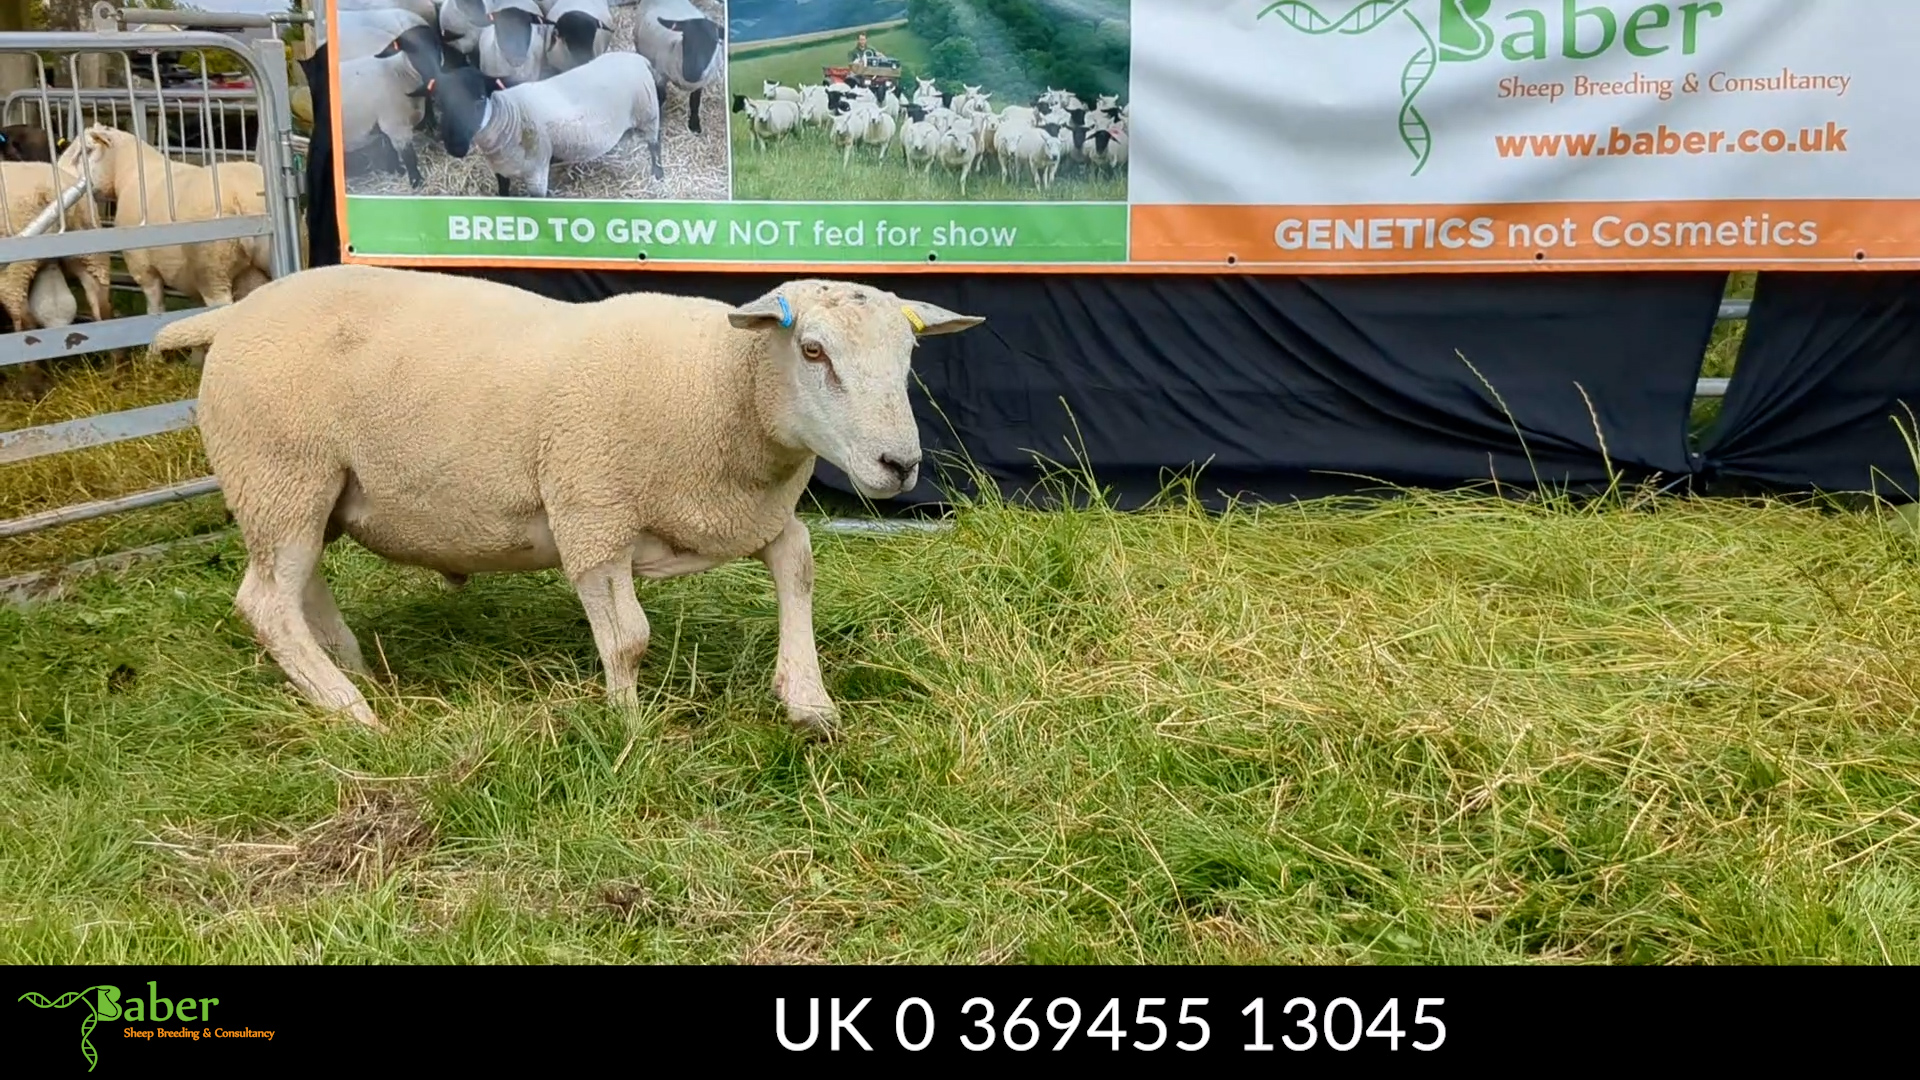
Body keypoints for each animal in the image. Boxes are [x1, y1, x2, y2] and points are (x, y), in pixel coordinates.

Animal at [55, 125, 271, 314]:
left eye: (86, 151)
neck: (129, 173)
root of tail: (240, 197)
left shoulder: (144, 269)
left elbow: (155, 308)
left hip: (212, 270)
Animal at [150, 265, 985, 735]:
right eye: (812, 351)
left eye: (910, 353)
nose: (899, 465)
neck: (716, 380)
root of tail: (237, 313)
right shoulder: (591, 514)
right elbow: (629, 640)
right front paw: (630, 729)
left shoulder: (735, 515)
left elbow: (800, 567)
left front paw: (807, 699)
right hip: (280, 473)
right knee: (266, 604)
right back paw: (352, 712)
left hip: (308, 492)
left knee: (303, 591)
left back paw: (353, 670)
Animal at [430, 51, 663, 197]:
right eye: (440, 102)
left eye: (479, 99)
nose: (455, 147)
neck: (508, 115)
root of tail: (637, 58)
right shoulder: (500, 169)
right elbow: (503, 191)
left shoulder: (536, 173)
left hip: (648, 112)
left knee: (654, 144)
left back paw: (658, 173)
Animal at [631, 0, 724, 134]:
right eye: (685, 37)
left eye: (715, 42)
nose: (692, 73)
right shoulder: (660, 74)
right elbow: (661, 97)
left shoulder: (700, 83)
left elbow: (695, 102)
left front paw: (695, 125)